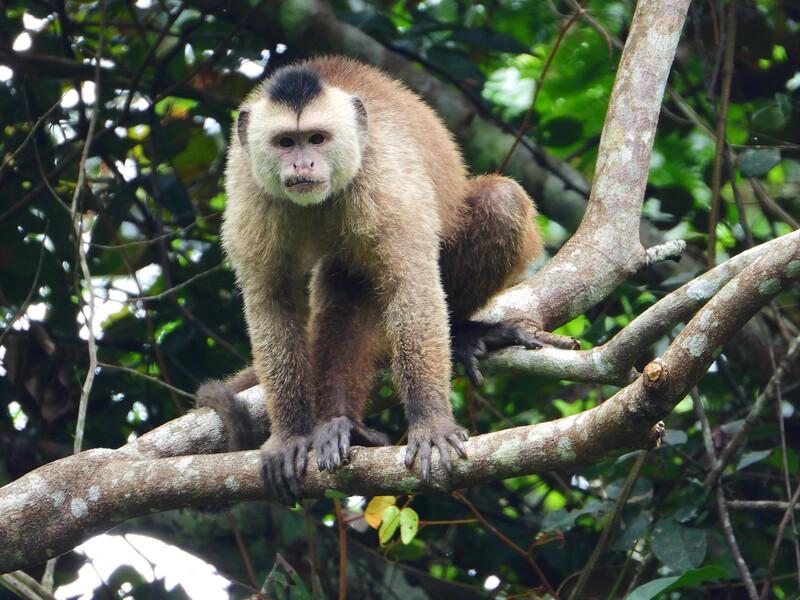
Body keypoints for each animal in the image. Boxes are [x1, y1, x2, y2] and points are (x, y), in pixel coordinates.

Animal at [211, 56, 543, 503]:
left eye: (317, 139)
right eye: (285, 143)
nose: (302, 164)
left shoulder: (383, 178)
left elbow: (411, 286)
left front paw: (431, 422)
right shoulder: (249, 189)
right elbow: (272, 302)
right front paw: (289, 436)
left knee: (500, 202)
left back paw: (464, 333)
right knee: (344, 292)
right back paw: (341, 424)